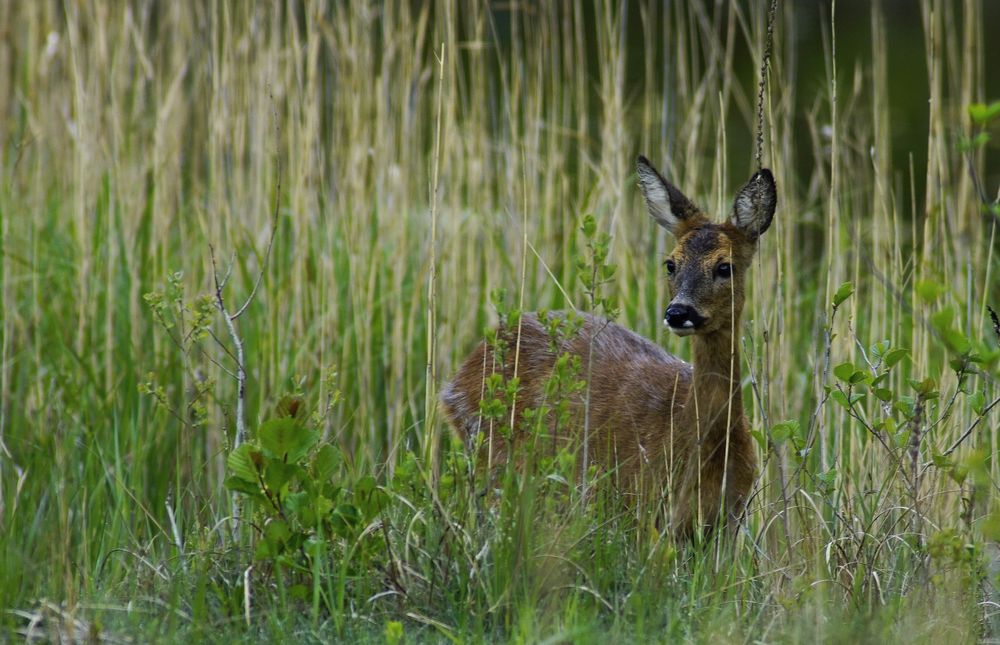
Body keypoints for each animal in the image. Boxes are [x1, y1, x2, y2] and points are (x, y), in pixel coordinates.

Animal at [440, 155, 777, 537]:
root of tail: (458, 376)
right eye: (670, 263)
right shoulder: (643, 505)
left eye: (725, 266)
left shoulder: (728, 521)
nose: (678, 312)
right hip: (491, 451)